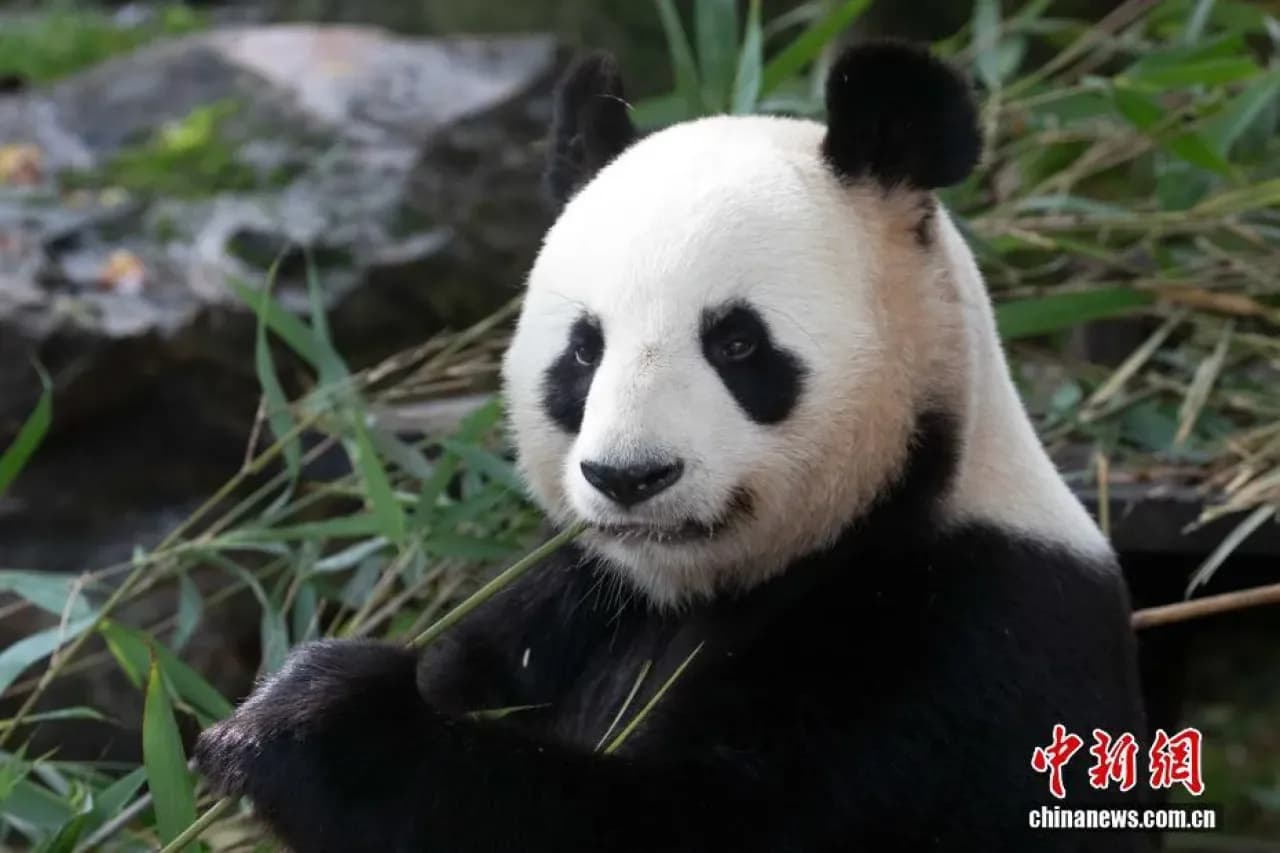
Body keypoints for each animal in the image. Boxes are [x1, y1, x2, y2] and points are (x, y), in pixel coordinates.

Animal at [196, 41, 1149, 852]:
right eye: (585, 349)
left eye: (737, 343)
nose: (630, 477)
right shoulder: (576, 596)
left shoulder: (951, 646)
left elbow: (690, 826)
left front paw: (312, 716)